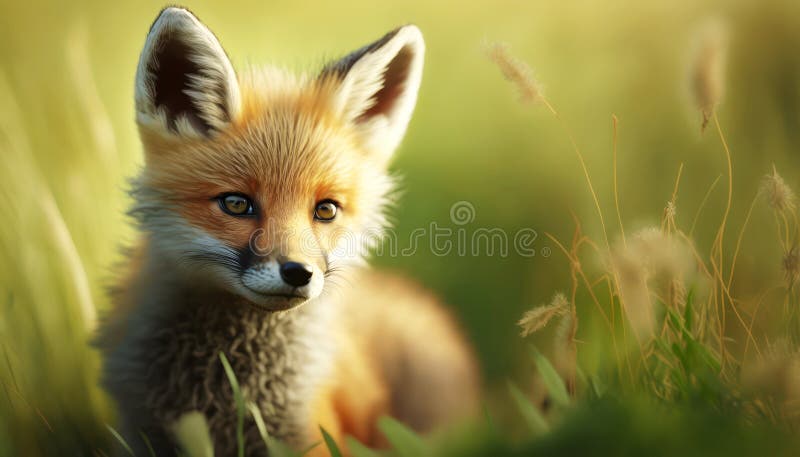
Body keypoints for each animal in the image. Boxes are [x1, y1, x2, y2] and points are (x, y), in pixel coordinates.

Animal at [96, 6, 480, 457]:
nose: (298, 273)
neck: (222, 391)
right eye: (237, 203)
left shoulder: (306, 437)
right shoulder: (143, 431)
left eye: (326, 209)